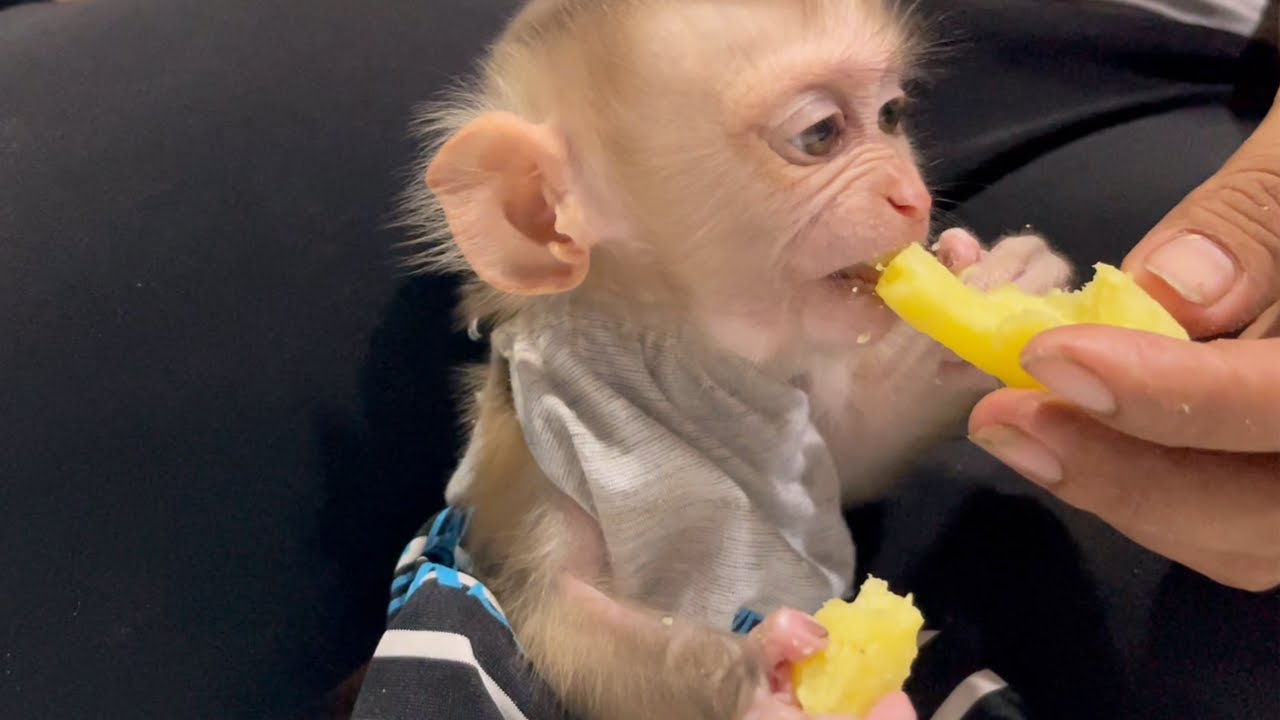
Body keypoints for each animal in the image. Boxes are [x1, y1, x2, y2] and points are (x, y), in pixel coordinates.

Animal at [394, 1, 1075, 719]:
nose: (910, 196)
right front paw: (758, 676)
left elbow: (851, 459)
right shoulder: (536, 452)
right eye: (820, 134)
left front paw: (993, 293)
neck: (674, 355)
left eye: (890, 117)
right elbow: (556, 612)